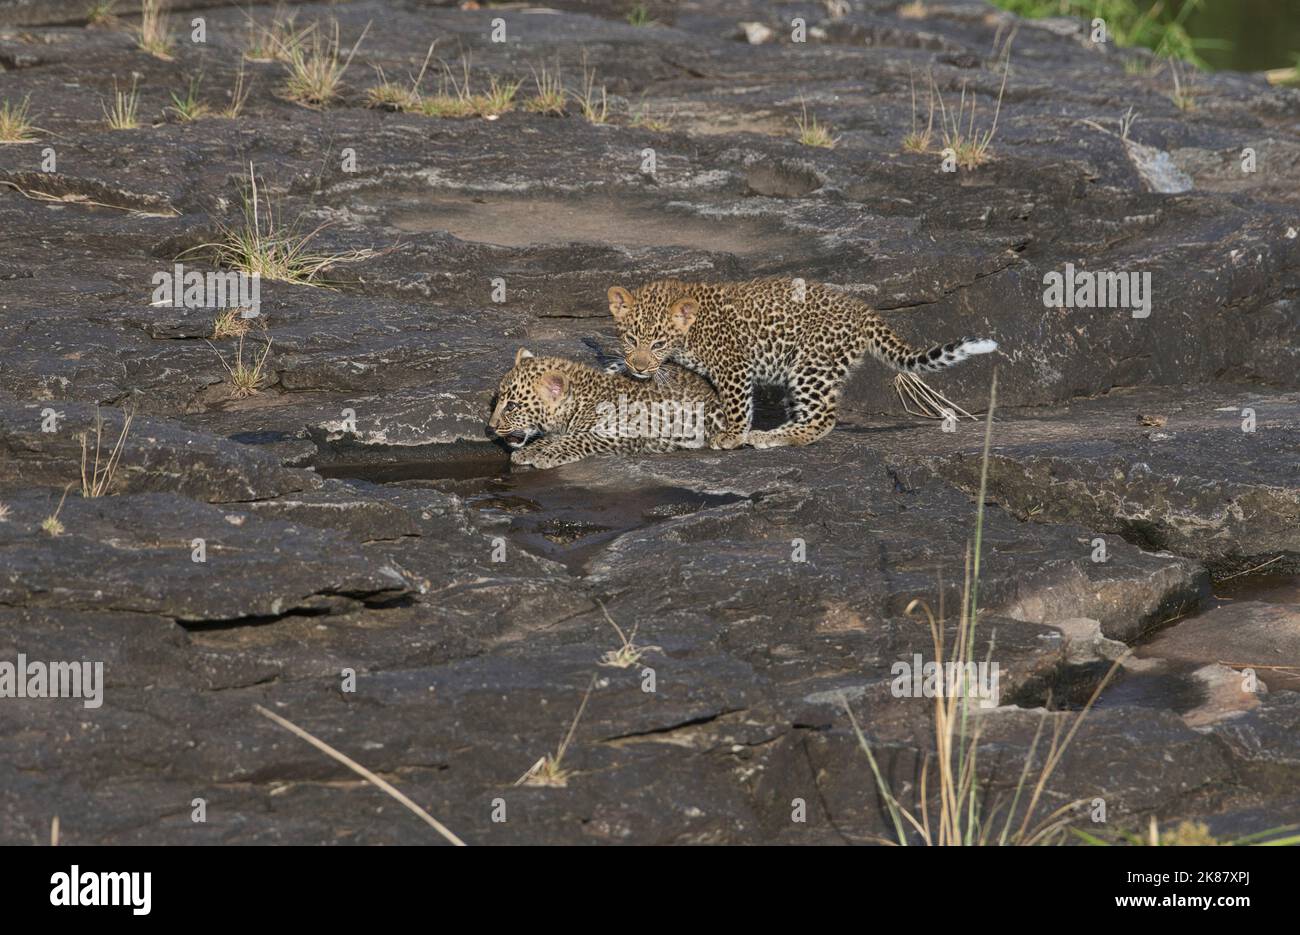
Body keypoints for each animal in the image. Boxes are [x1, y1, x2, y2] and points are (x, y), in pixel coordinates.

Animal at [487, 348, 726, 469]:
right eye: (498, 401)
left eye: (512, 406)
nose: (491, 427)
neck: (582, 401)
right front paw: (531, 450)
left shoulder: (623, 432)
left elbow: (579, 437)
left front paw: (547, 454)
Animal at [605, 277, 998, 449]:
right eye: (631, 339)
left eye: (658, 342)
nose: (639, 366)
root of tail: (864, 312)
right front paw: (618, 368)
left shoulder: (734, 364)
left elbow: (736, 404)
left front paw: (732, 435)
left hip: (811, 365)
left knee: (823, 418)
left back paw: (771, 436)